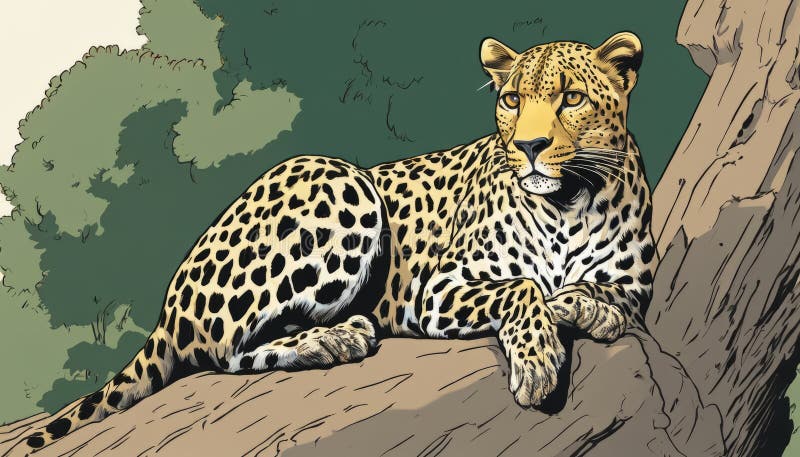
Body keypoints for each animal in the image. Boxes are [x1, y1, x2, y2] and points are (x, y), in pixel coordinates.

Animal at [9, 31, 655, 455]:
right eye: (512, 100)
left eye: (572, 98)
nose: (528, 146)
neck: (568, 204)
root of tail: (169, 304)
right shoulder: (438, 290)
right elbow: (521, 287)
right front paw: (540, 362)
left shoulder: (634, 283)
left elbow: (613, 299)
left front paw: (586, 306)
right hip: (341, 181)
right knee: (225, 350)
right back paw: (336, 338)